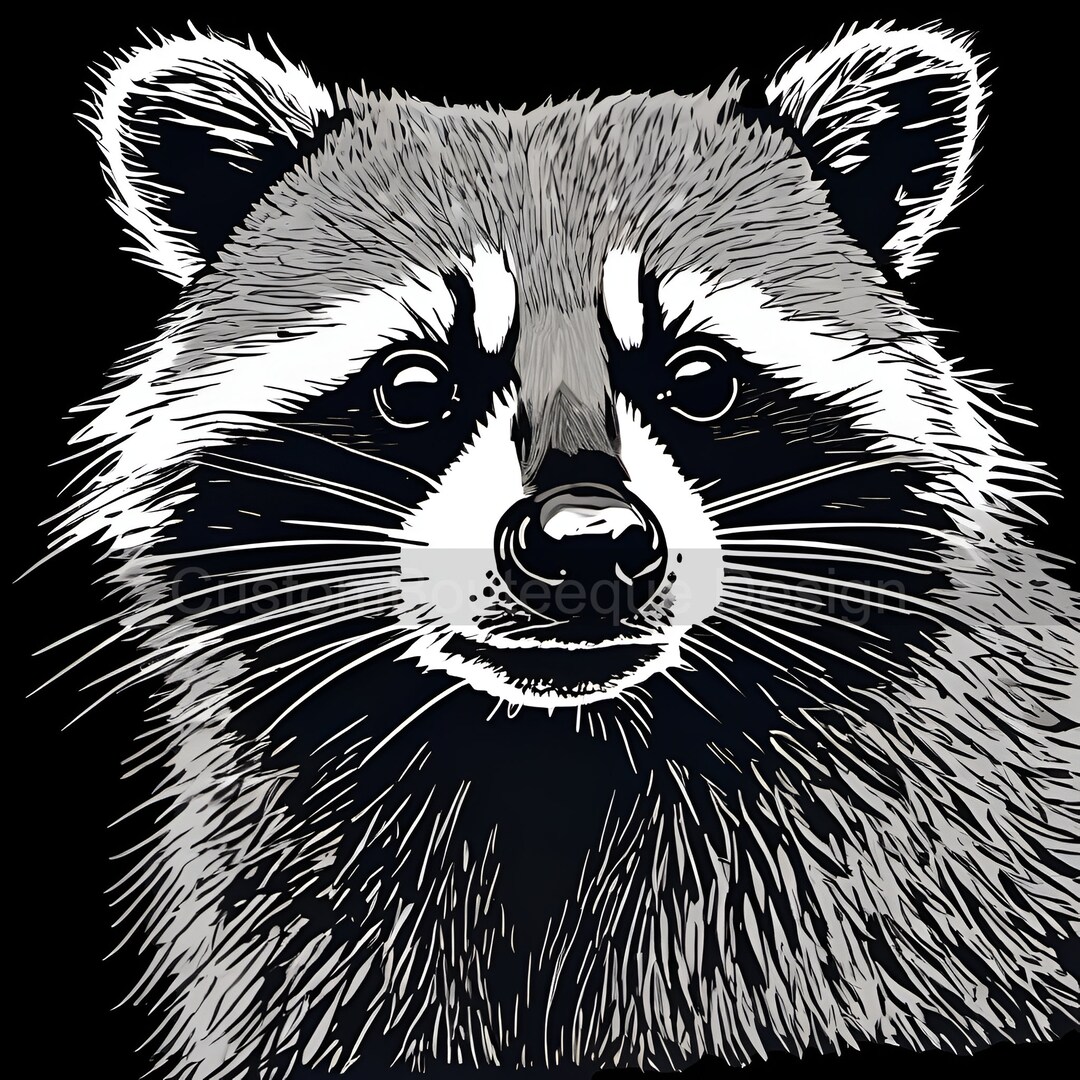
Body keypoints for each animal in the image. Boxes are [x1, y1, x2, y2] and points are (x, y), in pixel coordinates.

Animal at [51, 21, 1078, 1079]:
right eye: (414, 386)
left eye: (698, 378)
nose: (588, 543)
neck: (548, 759)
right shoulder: (295, 901)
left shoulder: (848, 882)